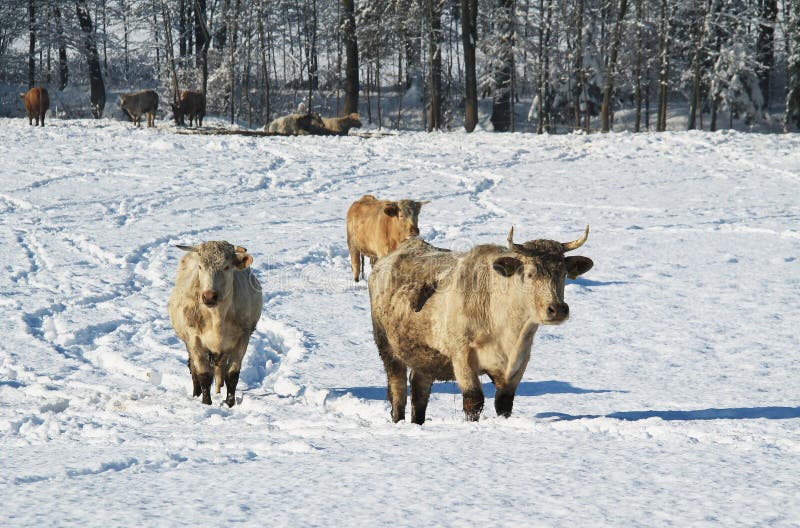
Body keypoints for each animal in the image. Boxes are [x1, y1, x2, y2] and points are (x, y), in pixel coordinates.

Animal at [168, 241, 263, 407]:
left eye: (227, 266)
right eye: (200, 267)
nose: (209, 296)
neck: (217, 317)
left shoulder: (242, 339)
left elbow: (232, 375)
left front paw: (230, 403)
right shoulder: (194, 340)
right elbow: (204, 375)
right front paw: (206, 402)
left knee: (220, 370)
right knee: (194, 369)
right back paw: (196, 393)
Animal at [368, 226, 593, 424]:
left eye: (563, 273)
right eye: (530, 273)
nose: (557, 309)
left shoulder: (519, 363)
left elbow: (504, 403)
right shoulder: (462, 356)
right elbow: (473, 401)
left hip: (424, 356)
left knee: (419, 390)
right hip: (387, 348)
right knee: (398, 391)